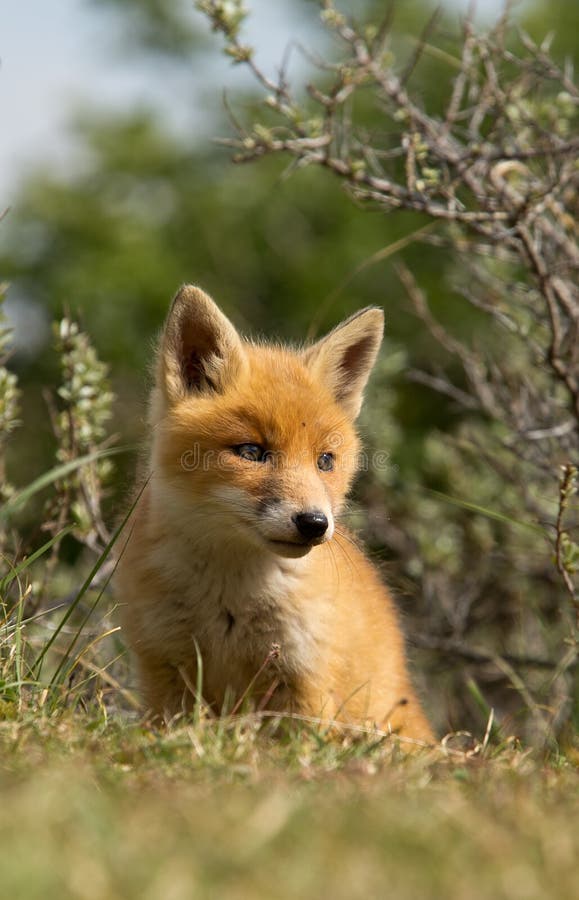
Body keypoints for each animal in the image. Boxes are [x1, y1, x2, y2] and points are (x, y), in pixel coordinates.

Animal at [116, 284, 434, 746]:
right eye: (251, 452)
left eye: (325, 461)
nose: (314, 524)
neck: (227, 598)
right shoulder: (165, 665)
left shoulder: (303, 678)